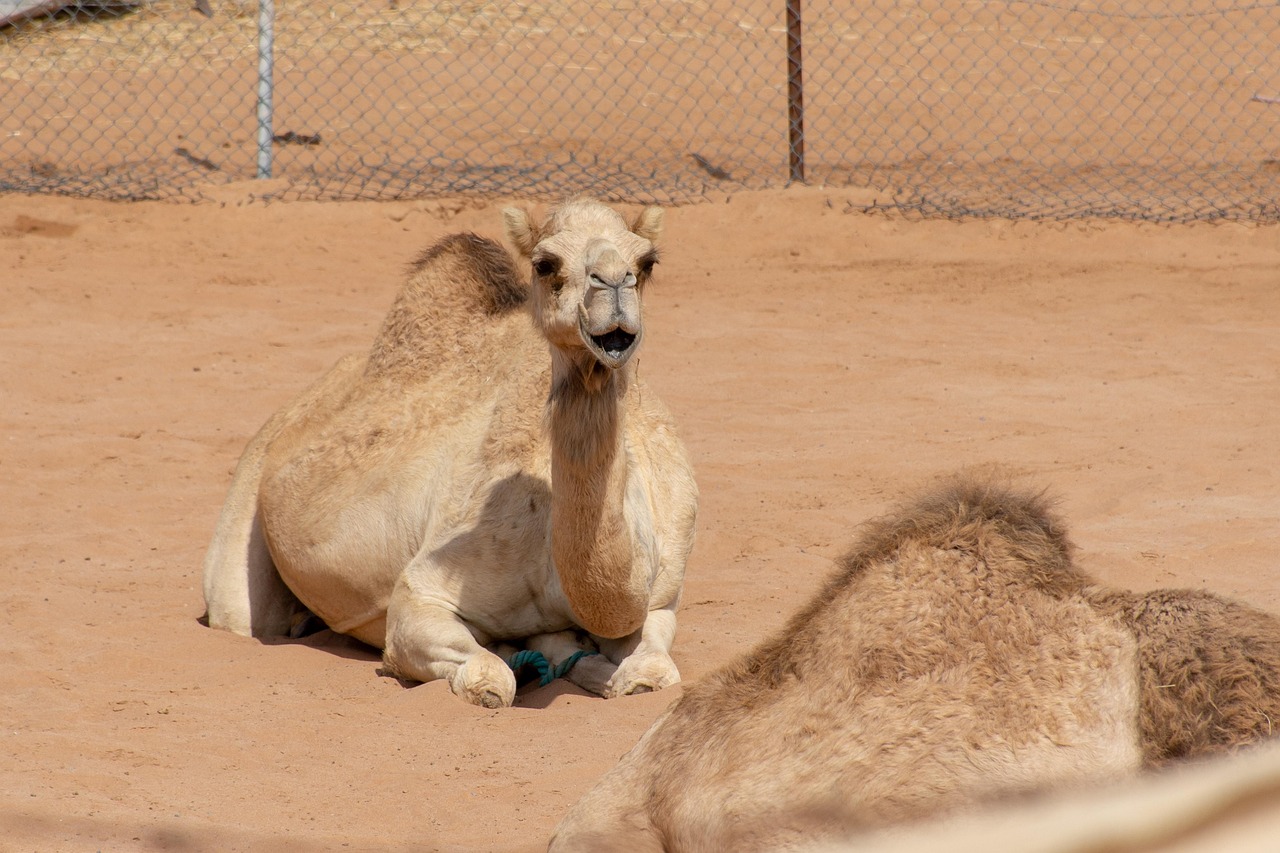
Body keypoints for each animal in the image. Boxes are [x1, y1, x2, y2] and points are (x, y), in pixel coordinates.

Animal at [201, 199, 698, 708]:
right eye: (545, 264)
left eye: (646, 262)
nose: (614, 285)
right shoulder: (422, 594)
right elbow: (489, 678)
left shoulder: (661, 594)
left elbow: (652, 671)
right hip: (246, 503)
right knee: (241, 613)